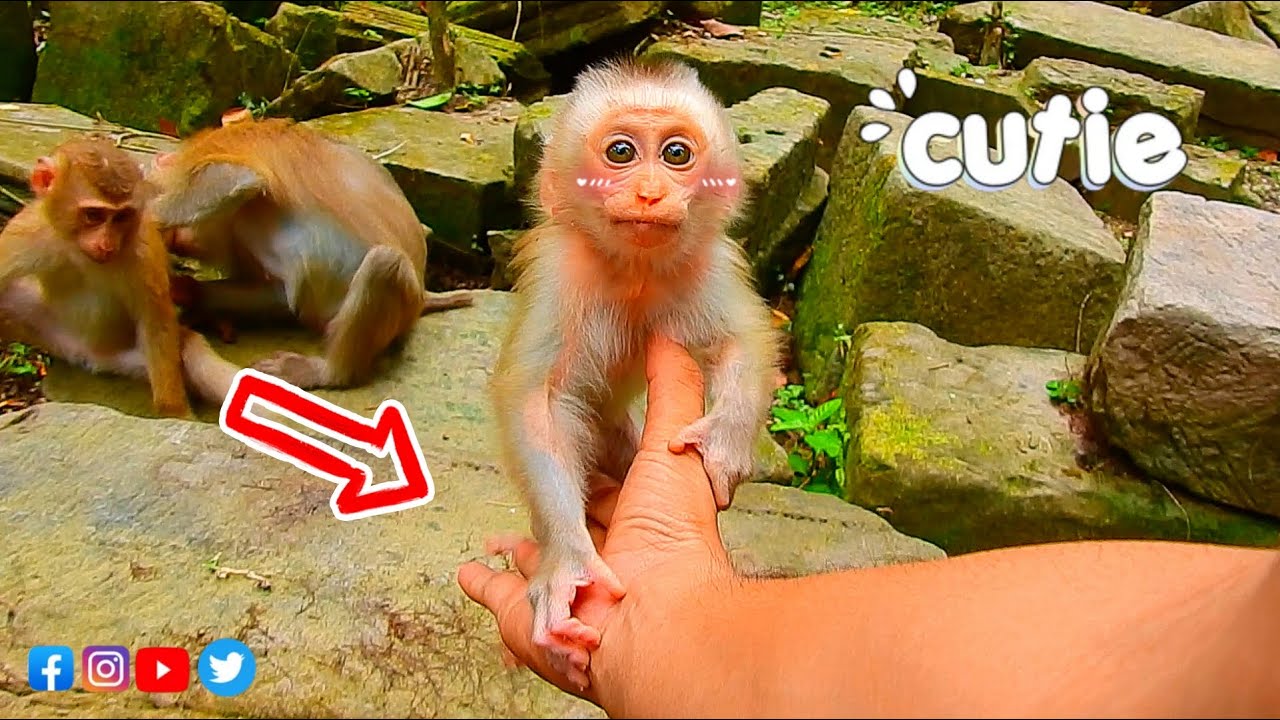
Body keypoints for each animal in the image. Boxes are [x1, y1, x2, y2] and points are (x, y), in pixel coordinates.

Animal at [0, 135, 241, 417]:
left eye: (122, 216)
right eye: (93, 215)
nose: (106, 245)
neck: (79, 251)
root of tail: (91, 357)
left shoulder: (143, 253)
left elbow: (156, 324)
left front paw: (175, 411)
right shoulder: (25, 233)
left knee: (189, 349)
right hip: (52, 333)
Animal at [145, 118, 475, 391]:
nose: (179, 240)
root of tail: (422, 294)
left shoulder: (216, 150)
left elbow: (236, 178)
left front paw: (146, 214)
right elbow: (281, 295)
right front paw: (191, 292)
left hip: (403, 303)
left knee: (385, 264)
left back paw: (328, 372)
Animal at [489, 58, 782, 678]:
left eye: (676, 154)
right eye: (621, 152)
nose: (649, 193)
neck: (635, 269)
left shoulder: (708, 261)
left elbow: (743, 343)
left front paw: (723, 440)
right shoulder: (561, 272)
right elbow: (538, 400)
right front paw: (567, 562)